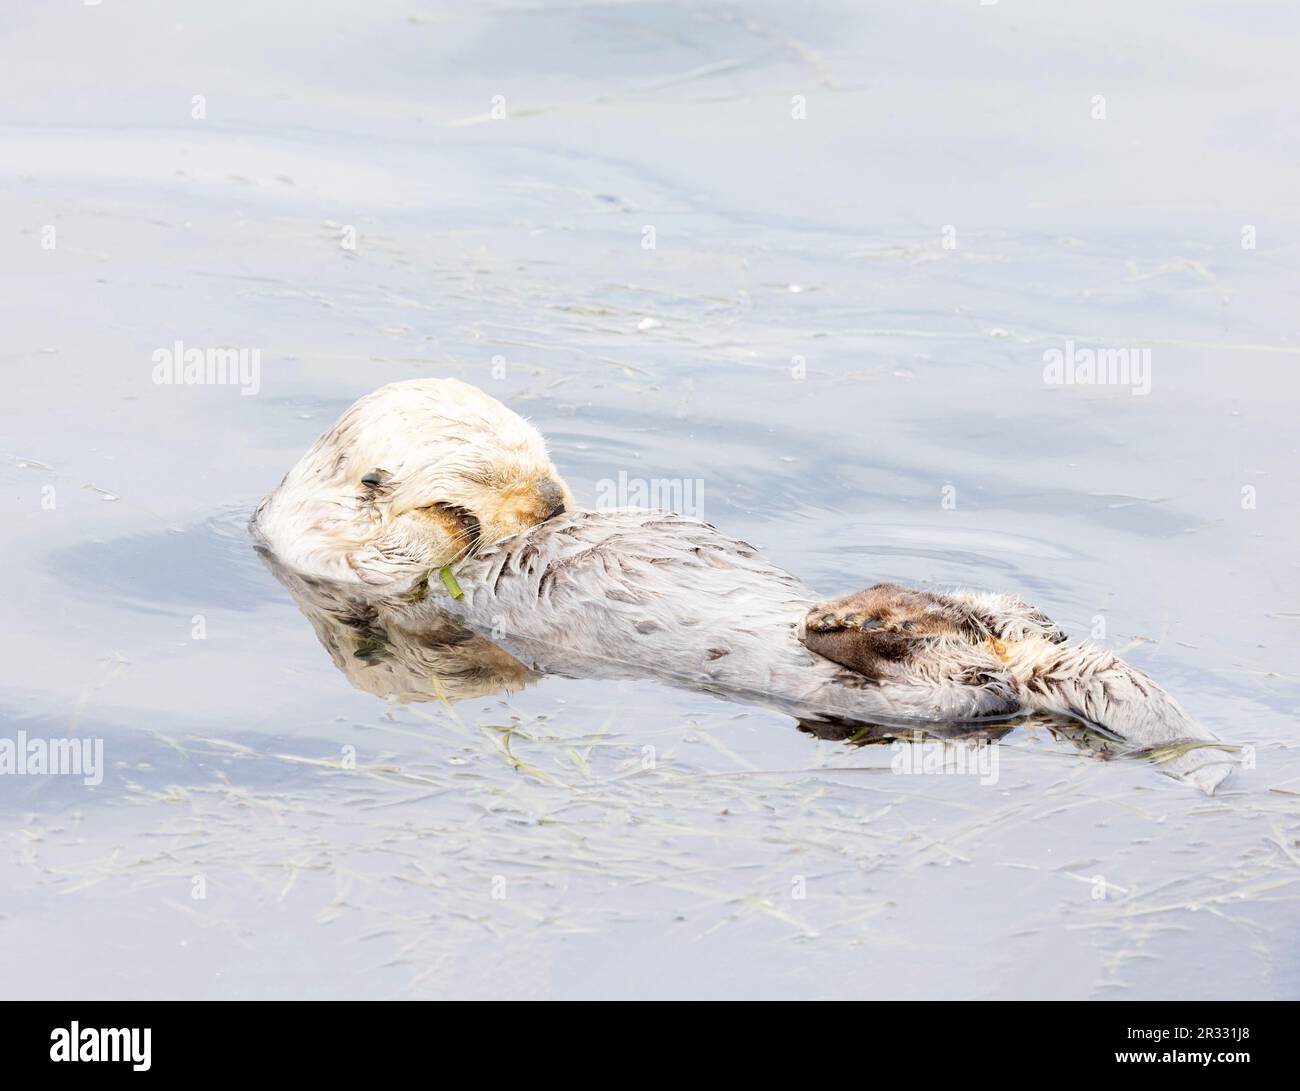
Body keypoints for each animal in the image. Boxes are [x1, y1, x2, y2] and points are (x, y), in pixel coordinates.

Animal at [251, 378, 1236, 793]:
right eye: (490, 471)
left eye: (543, 459)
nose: (557, 502)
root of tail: (1021, 670)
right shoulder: (324, 563)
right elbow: (393, 556)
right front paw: (449, 524)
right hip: (922, 696)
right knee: (949, 679)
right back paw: (850, 616)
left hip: (992, 644)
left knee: (1008, 624)